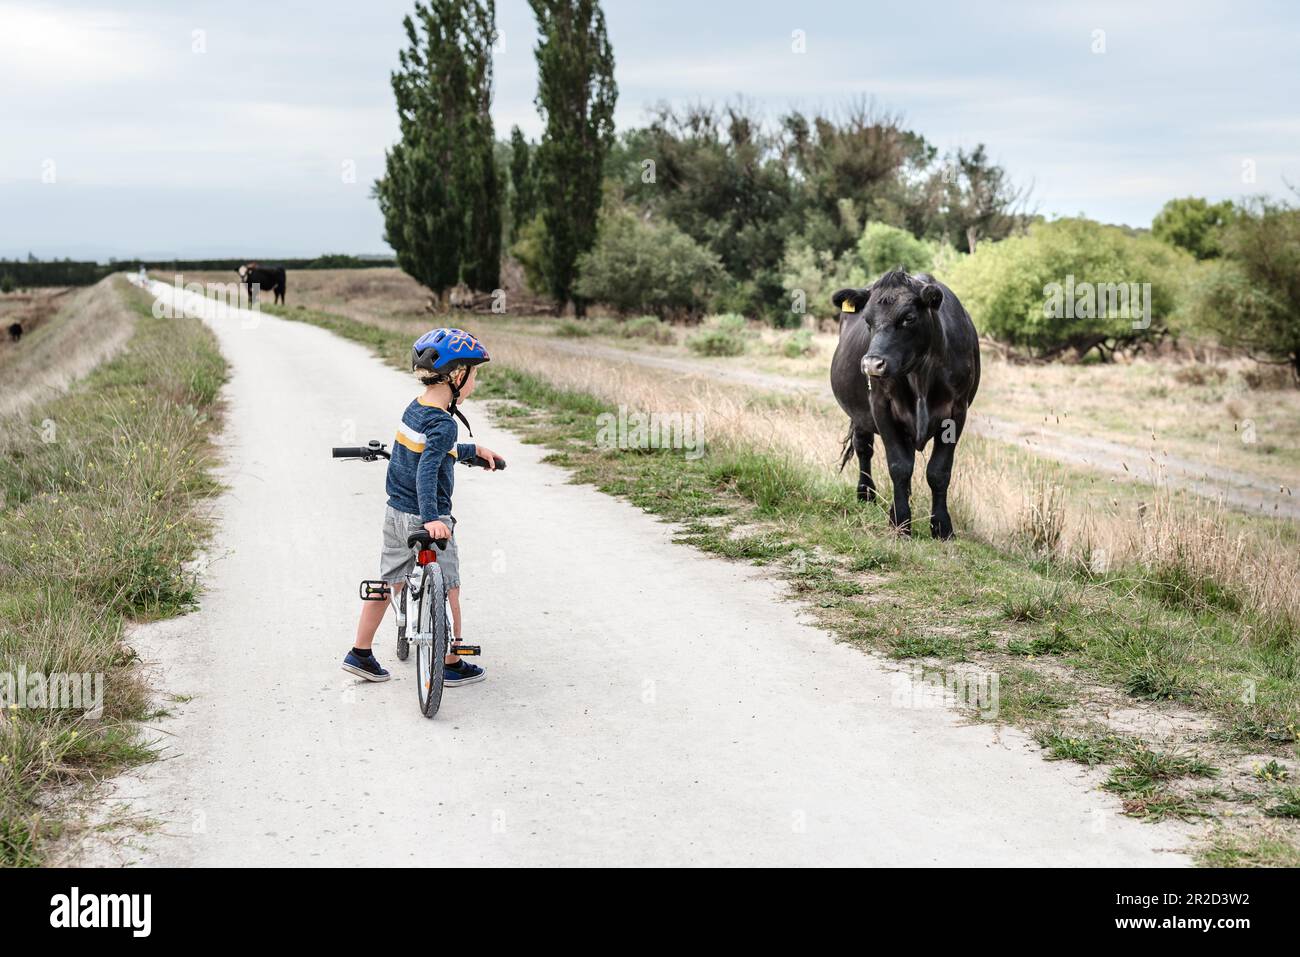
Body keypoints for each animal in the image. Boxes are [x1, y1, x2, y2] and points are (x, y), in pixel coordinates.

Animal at [830, 270, 980, 539]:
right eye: (867, 320)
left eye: (908, 318)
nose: (872, 364)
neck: (921, 374)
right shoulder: (881, 407)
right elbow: (899, 466)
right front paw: (900, 522)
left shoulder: (957, 411)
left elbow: (939, 471)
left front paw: (942, 527)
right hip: (860, 415)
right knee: (864, 448)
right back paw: (866, 494)